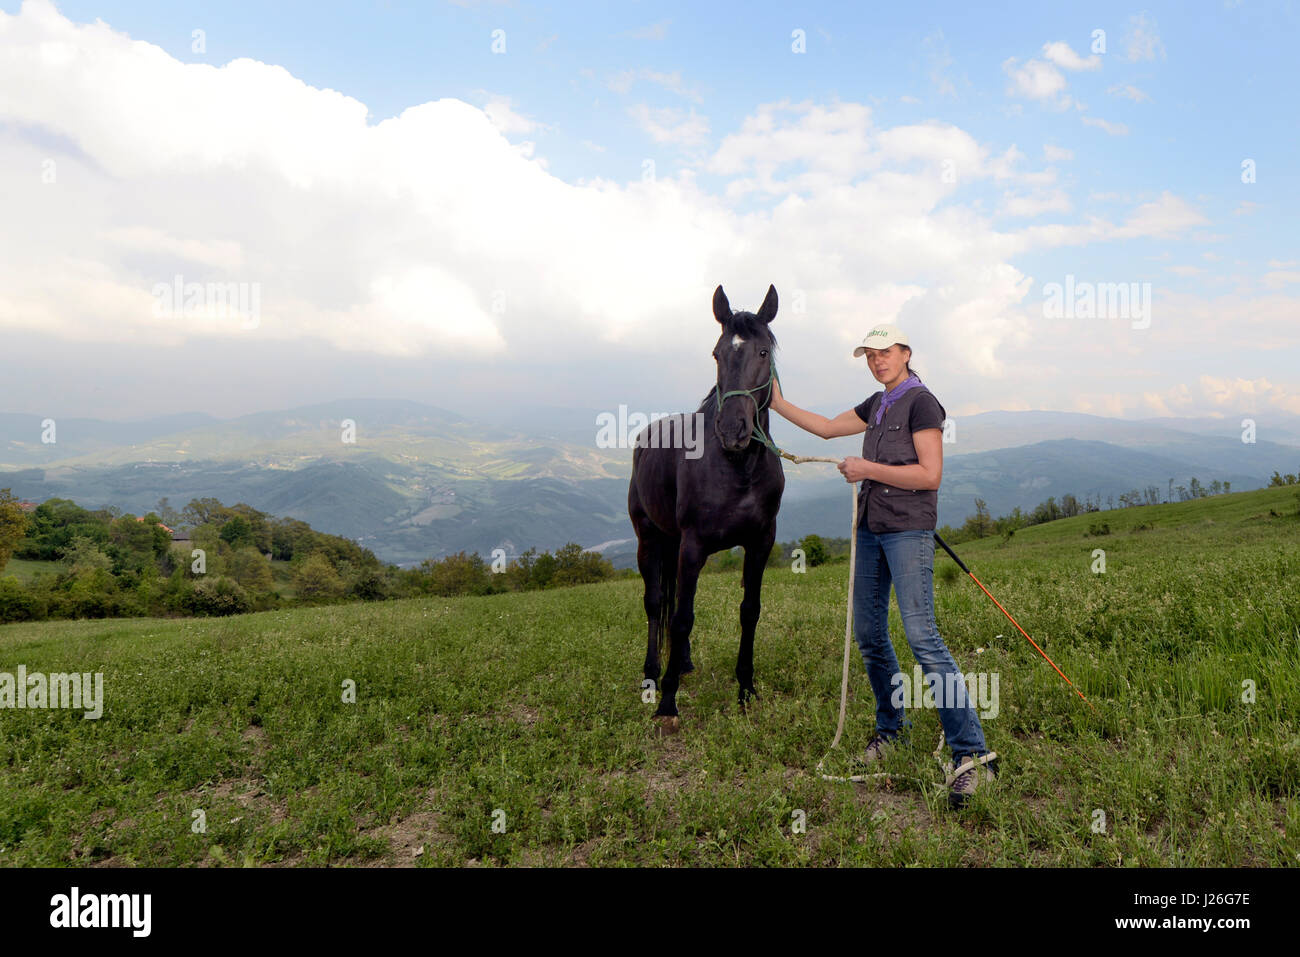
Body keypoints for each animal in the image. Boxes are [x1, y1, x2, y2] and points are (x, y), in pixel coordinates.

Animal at [627, 284, 785, 733]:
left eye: (763, 352)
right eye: (717, 354)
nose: (733, 431)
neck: (737, 466)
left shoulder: (760, 542)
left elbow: (749, 611)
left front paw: (746, 689)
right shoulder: (693, 546)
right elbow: (680, 618)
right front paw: (668, 703)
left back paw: (682, 663)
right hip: (649, 540)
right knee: (655, 605)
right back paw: (652, 676)